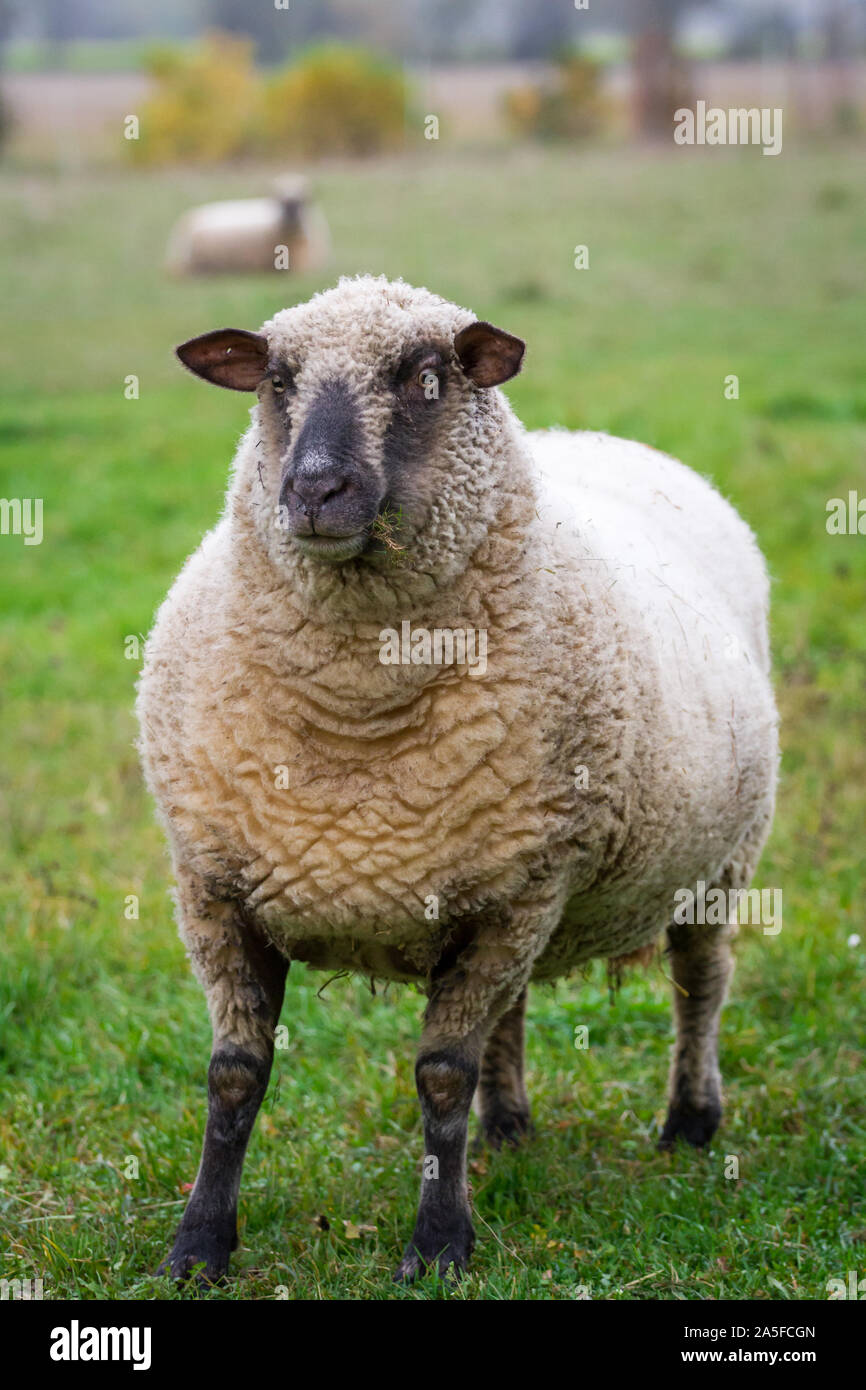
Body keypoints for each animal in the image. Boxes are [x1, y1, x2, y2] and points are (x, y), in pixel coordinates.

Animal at [137, 274, 778, 1286]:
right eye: (276, 379)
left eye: (427, 376)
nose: (313, 490)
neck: (356, 720)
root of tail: (602, 440)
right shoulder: (216, 886)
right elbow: (233, 1075)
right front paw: (199, 1246)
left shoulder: (518, 893)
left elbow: (441, 1073)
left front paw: (438, 1244)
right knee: (511, 1015)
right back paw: (508, 1130)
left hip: (715, 862)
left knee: (700, 983)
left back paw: (688, 1122)